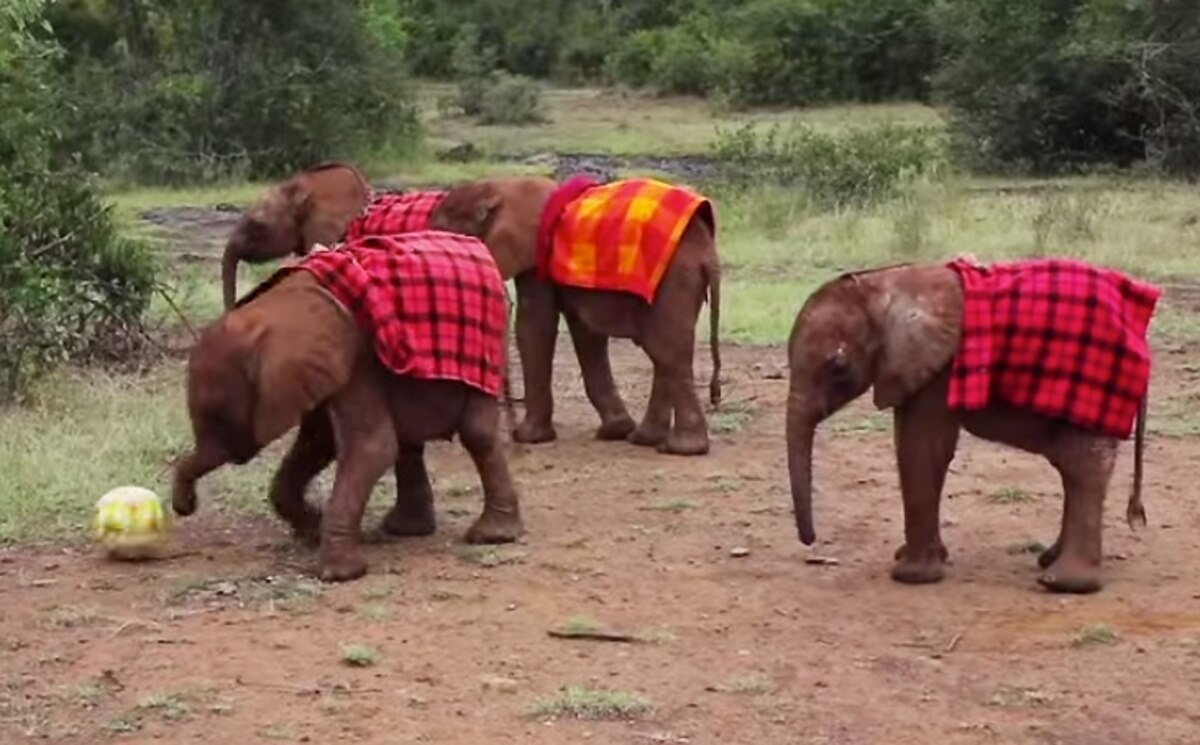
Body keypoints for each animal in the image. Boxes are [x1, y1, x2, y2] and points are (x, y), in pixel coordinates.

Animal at [173, 242, 524, 582]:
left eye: (220, 417)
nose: (184, 508)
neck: (271, 308)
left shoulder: (355, 356)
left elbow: (370, 447)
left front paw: (336, 573)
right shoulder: (325, 367)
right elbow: (321, 440)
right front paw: (313, 531)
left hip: (490, 342)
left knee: (476, 432)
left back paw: (491, 537)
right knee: (409, 439)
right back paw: (405, 530)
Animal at [429, 175, 721, 456]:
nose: (513, 436)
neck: (501, 186)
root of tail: (707, 248)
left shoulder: (537, 255)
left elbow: (534, 325)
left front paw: (528, 437)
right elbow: (586, 333)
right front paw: (615, 430)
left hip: (672, 280)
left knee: (666, 350)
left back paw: (681, 449)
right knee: (665, 352)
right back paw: (643, 439)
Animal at [785, 258, 1159, 594]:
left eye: (838, 366)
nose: (811, 542)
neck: (887, 285)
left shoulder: (940, 367)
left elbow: (921, 449)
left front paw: (910, 576)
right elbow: (915, 445)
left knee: (1082, 465)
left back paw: (1062, 583)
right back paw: (1048, 562)